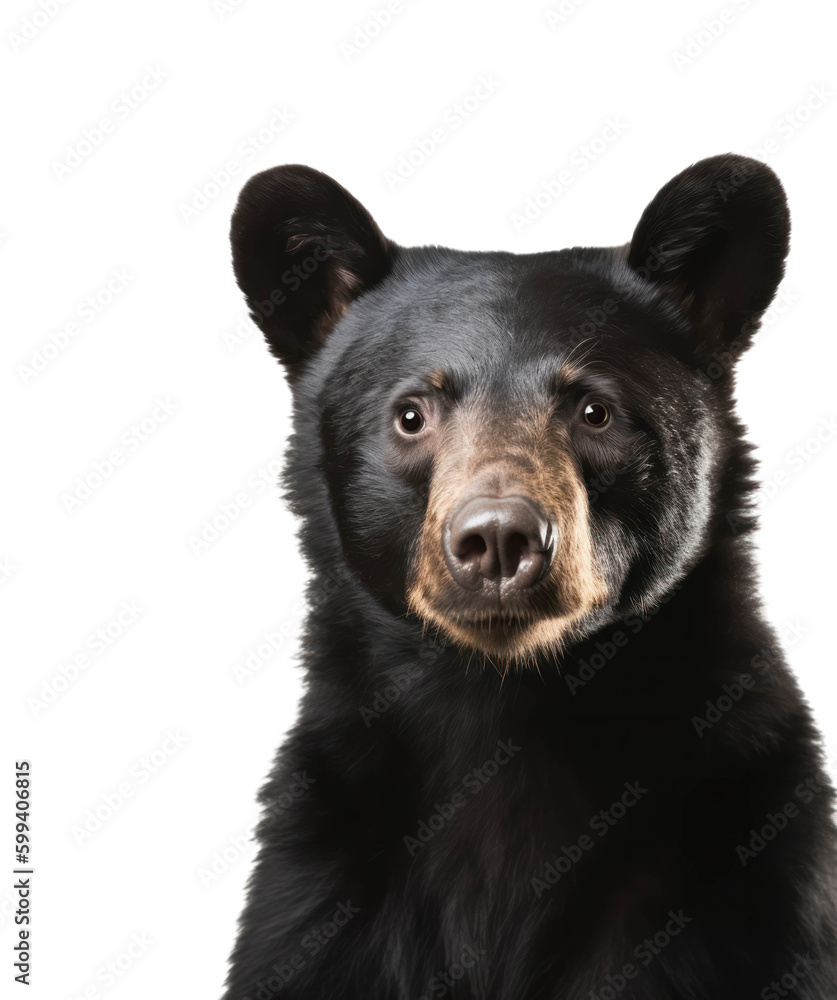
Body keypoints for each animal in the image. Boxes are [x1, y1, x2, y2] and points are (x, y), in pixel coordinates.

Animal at [221, 155, 837, 999]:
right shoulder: (318, 887)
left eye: (594, 411)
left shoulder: (749, 879)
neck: (507, 712)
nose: (498, 540)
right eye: (410, 413)